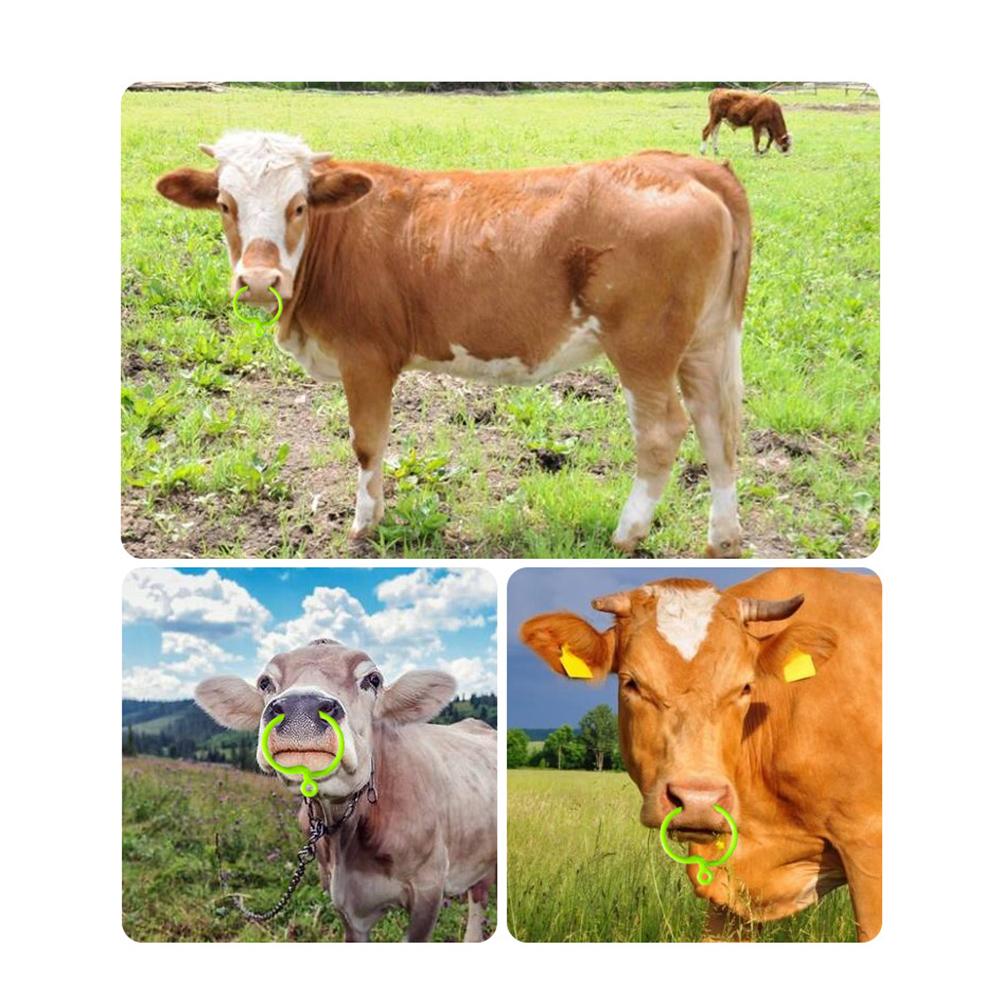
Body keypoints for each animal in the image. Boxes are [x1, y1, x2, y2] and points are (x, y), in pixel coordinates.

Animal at [155, 131, 752, 557]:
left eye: (298, 205)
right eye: (225, 204)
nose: (259, 281)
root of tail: (683, 165)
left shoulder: (365, 356)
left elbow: (367, 443)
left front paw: (364, 524)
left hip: (644, 346)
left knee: (662, 431)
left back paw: (627, 533)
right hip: (707, 341)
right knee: (717, 425)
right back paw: (722, 538)